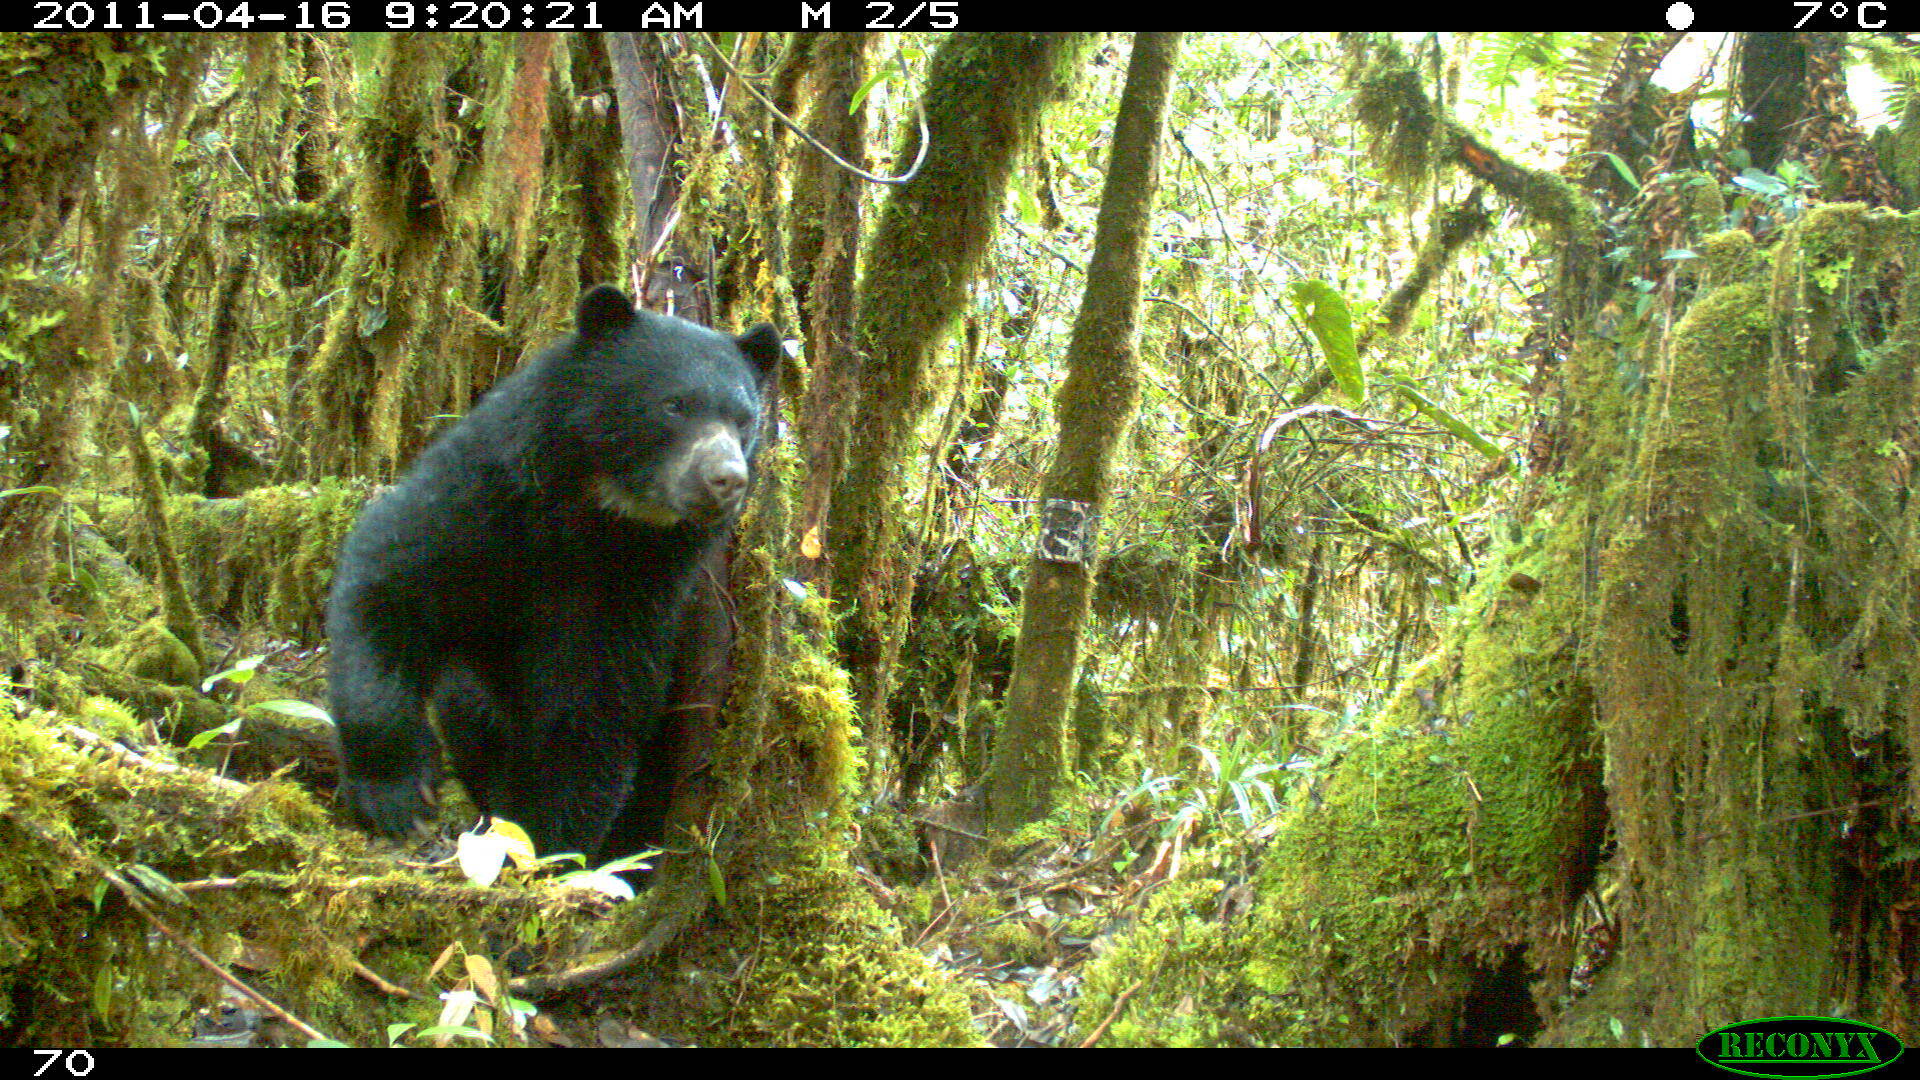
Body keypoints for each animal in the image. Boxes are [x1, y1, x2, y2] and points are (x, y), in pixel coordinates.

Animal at [327, 284, 780, 868]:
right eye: (674, 405)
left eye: (744, 420)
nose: (726, 478)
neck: (597, 518)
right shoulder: (481, 508)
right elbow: (388, 587)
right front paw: (397, 794)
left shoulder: (630, 592)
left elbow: (590, 708)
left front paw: (539, 844)